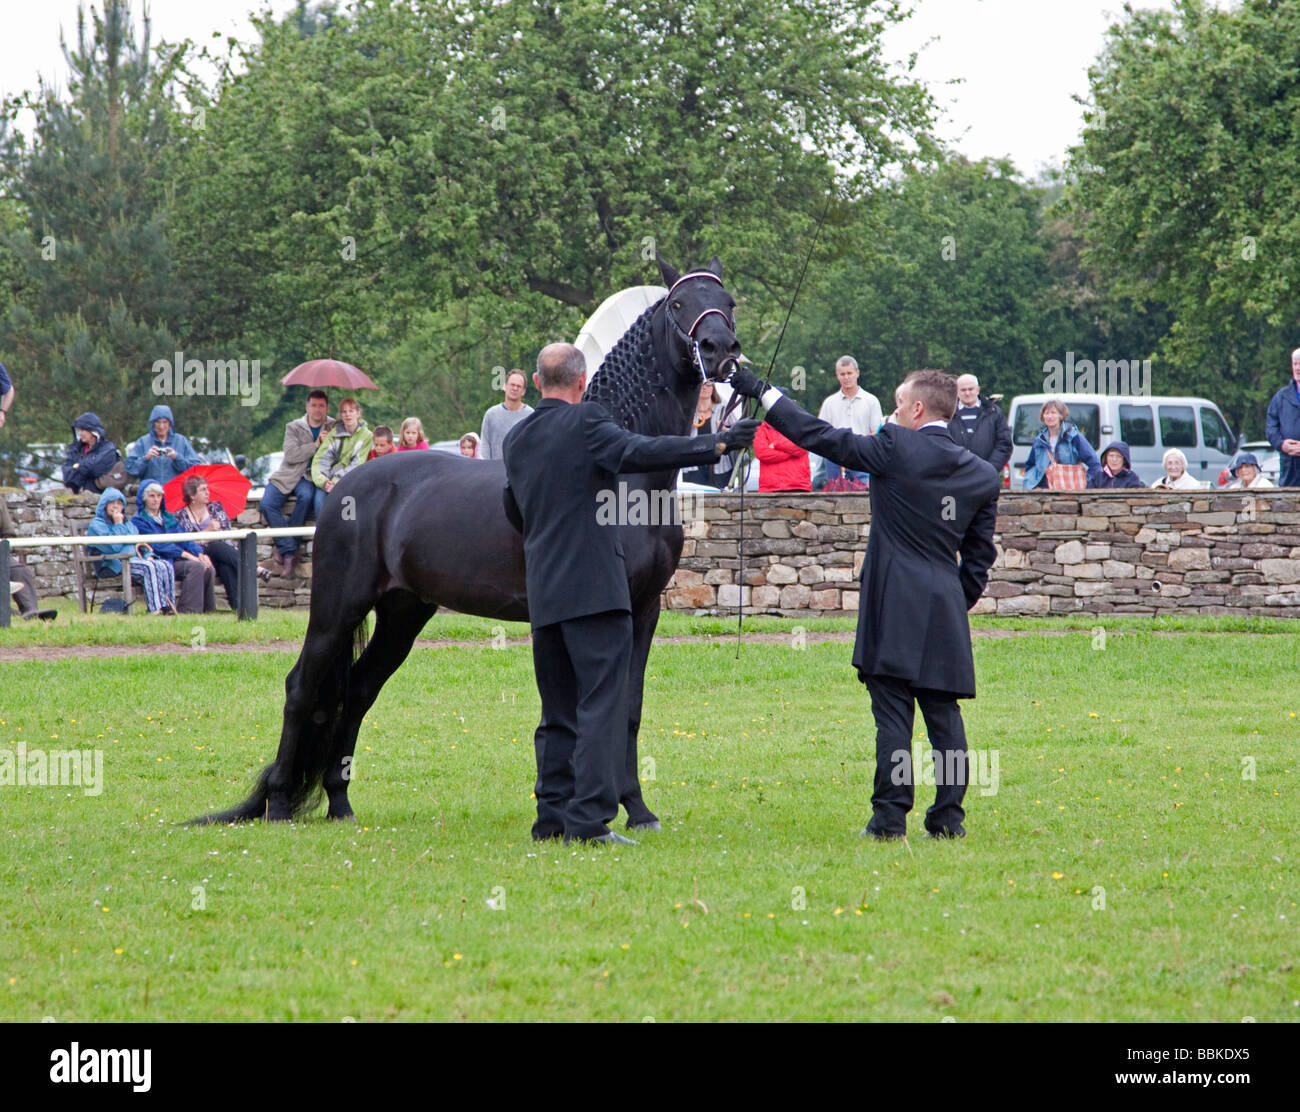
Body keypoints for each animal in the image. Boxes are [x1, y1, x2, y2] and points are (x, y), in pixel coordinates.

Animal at [192, 255, 742, 829]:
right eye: (678, 304)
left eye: (728, 302)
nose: (721, 348)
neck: (627, 473)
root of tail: (344, 484)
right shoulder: (603, 609)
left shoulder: (644, 608)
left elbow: (628, 709)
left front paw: (637, 810)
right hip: (336, 607)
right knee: (302, 686)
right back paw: (278, 802)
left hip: (404, 611)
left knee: (359, 690)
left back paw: (339, 803)